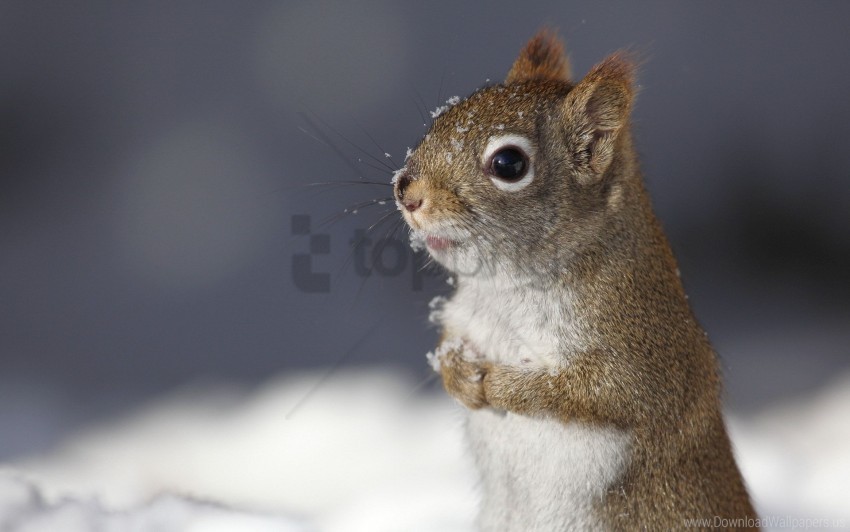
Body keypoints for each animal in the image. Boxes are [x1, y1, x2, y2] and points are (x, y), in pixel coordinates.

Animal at [392, 30, 757, 531]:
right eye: (441, 119)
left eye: (509, 163)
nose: (405, 191)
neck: (504, 289)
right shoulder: (464, 314)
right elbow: (449, 340)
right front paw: (459, 374)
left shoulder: (638, 357)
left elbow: (592, 393)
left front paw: (502, 386)